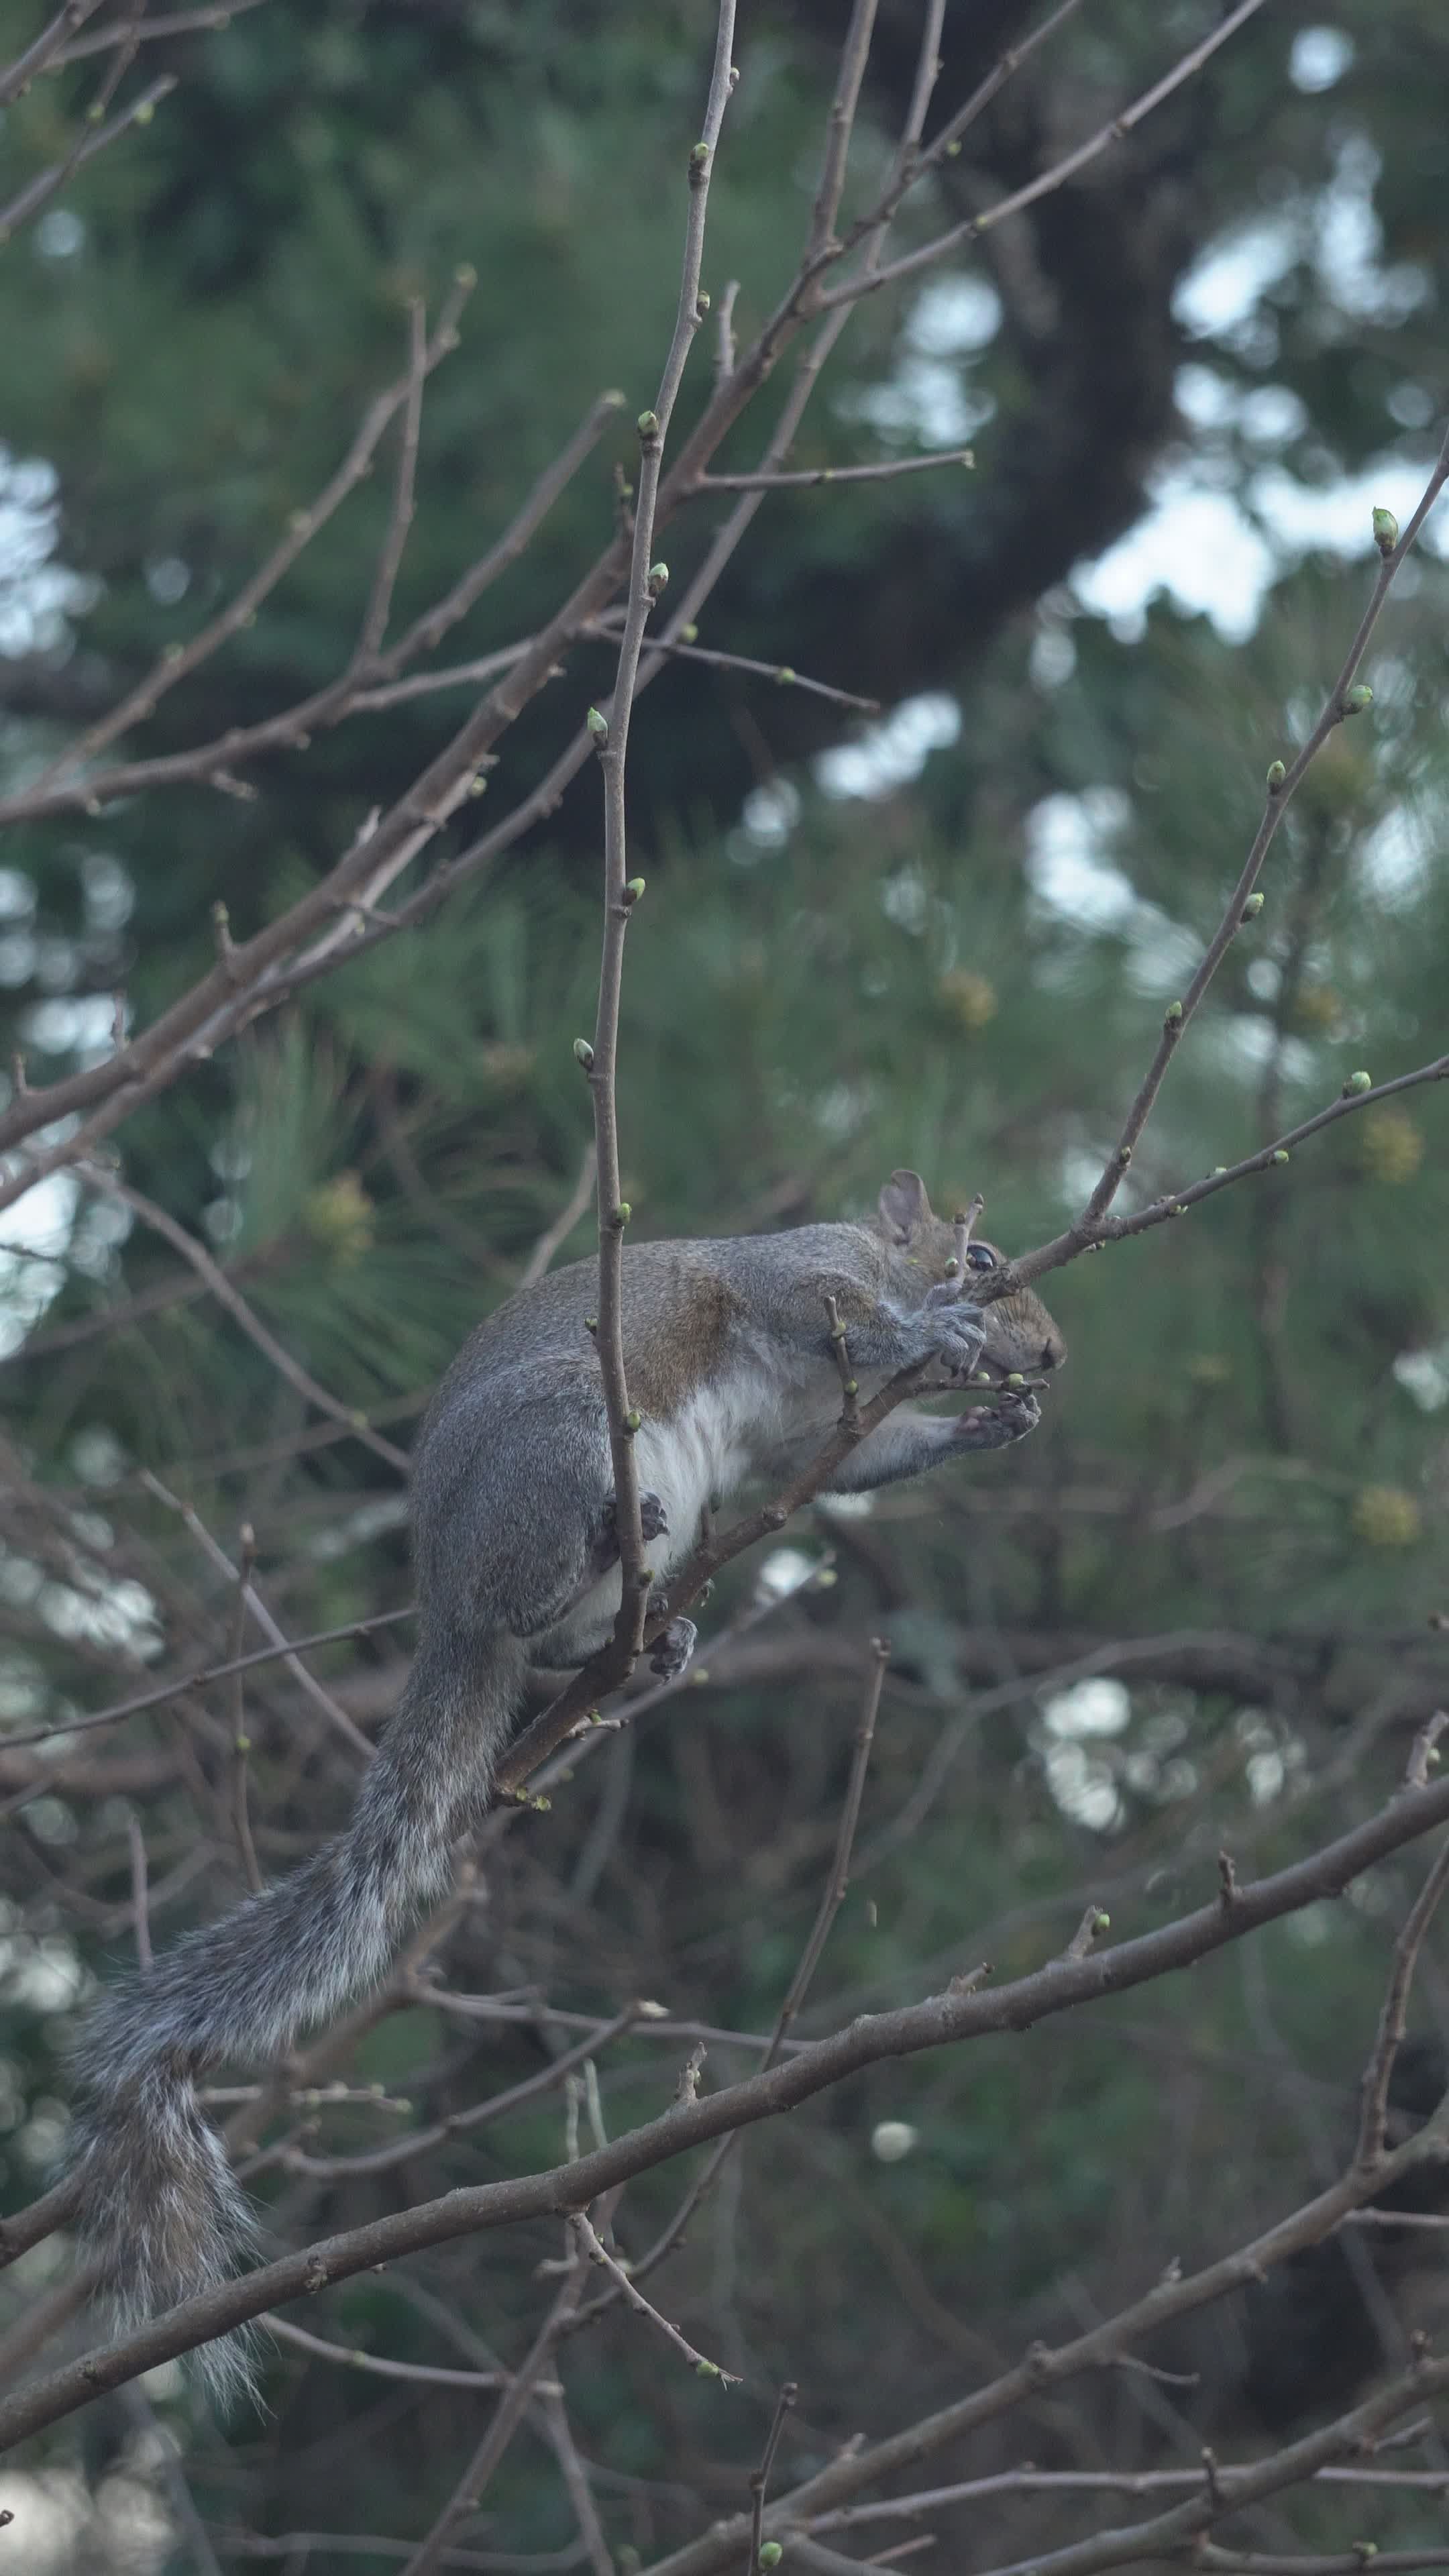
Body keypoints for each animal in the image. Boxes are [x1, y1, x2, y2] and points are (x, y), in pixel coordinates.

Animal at [68, 1168, 1064, 2405]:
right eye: (981, 1258)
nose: (1052, 1353)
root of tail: (445, 1603)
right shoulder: (791, 1285)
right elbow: (840, 1315)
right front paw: (938, 1332)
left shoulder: (806, 1432)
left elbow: (842, 1461)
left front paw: (986, 1421)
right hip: (563, 1433)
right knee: (528, 1597)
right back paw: (595, 1564)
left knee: (550, 1649)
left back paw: (650, 1642)